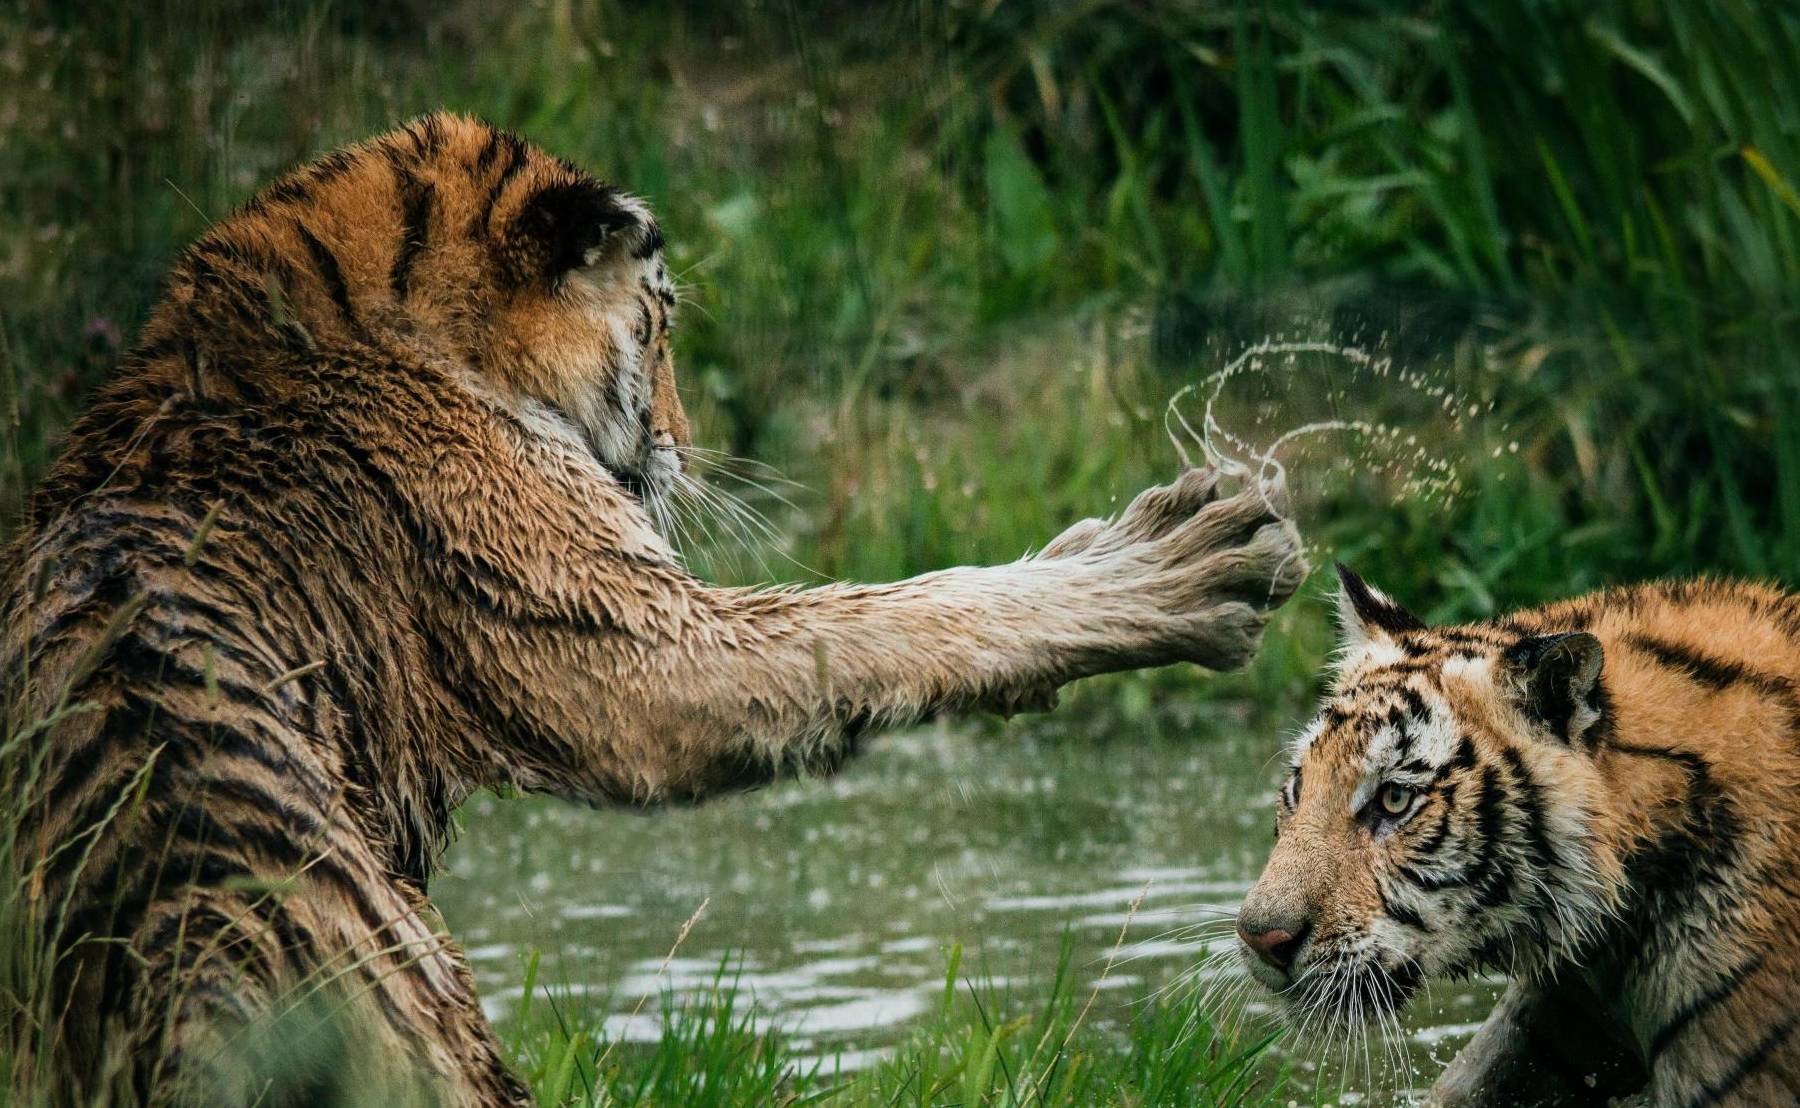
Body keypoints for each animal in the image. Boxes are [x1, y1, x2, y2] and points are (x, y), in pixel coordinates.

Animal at [0, 112, 1306, 1106]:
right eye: (663, 325)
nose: (683, 444)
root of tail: (187, 964)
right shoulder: (628, 641)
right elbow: (891, 615)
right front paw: (1179, 561)